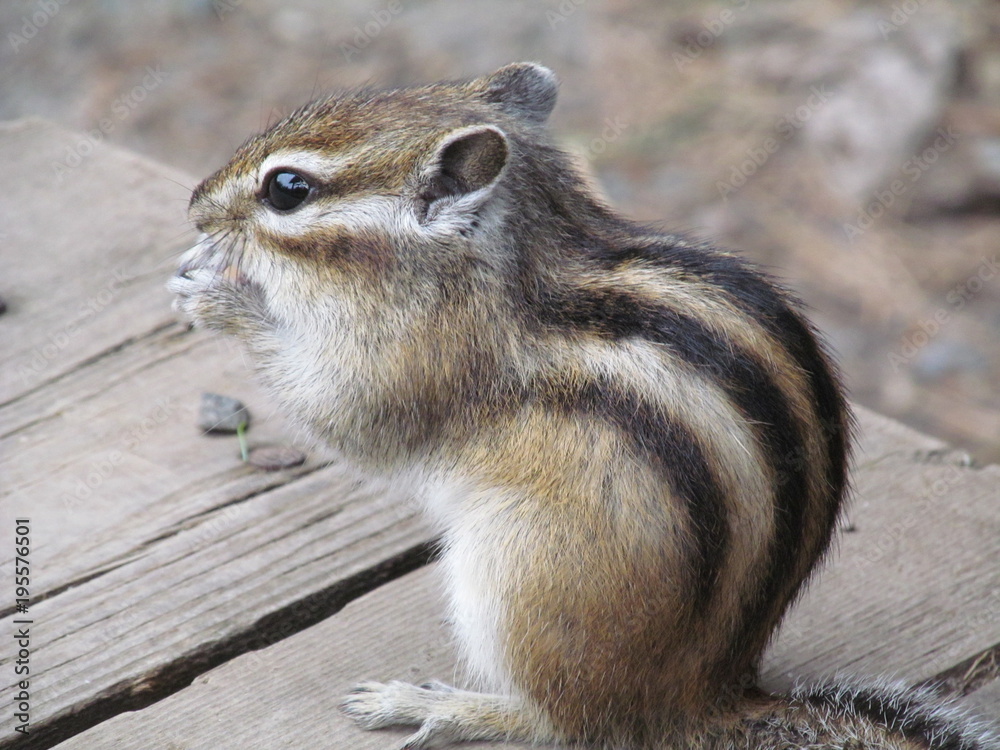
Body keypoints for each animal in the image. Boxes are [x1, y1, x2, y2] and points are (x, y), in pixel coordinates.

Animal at [169, 63, 997, 750]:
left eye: (287, 189)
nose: (195, 204)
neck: (489, 259)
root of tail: (700, 699)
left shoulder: (416, 357)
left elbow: (346, 419)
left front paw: (225, 299)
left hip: (518, 577)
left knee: (567, 723)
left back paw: (439, 704)